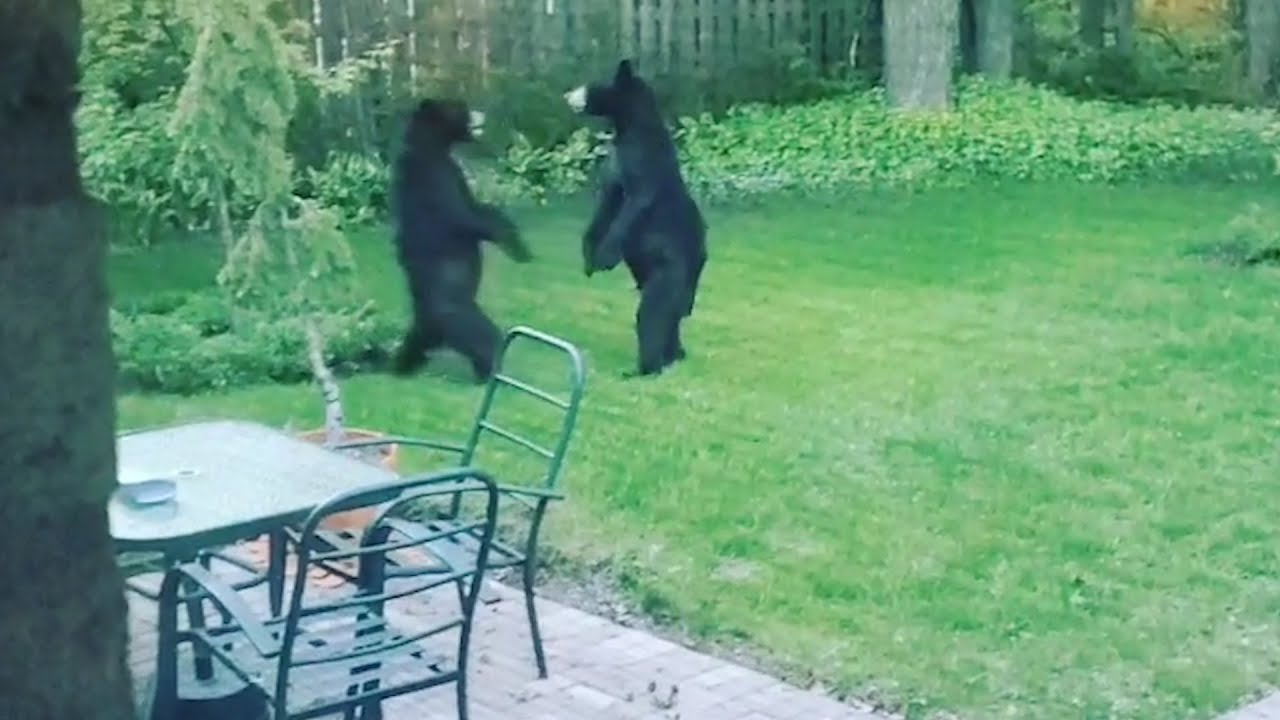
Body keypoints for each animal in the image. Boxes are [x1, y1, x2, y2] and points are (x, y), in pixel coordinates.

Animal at [389, 97, 533, 382]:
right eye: (462, 107)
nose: (480, 113)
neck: (431, 147)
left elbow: (474, 206)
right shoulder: (435, 176)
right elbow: (465, 216)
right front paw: (517, 246)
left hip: (427, 319)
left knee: (416, 341)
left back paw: (401, 366)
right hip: (452, 306)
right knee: (478, 333)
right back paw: (489, 367)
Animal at [564, 59, 709, 377]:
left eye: (593, 84)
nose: (568, 95)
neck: (629, 128)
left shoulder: (642, 160)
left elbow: (634, 205)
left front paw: (604, 257)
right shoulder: (615, 164)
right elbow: (606, 203)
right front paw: (588, 253)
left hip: (670, 271)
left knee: (653, 313)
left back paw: (646, 367)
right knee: (670, 319)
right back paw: (674, 355)